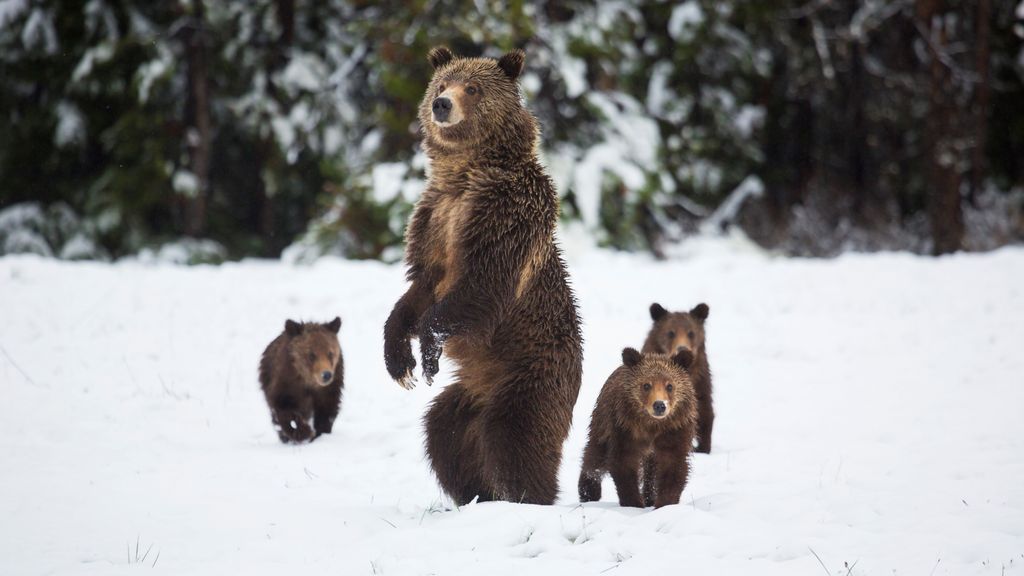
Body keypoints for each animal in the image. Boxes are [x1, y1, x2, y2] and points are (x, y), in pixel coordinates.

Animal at [382, 46, 583, 506]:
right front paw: (400, 362)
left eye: (473, 88)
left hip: (530, 375)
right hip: (469, 393)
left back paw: (528, 497)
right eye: (442, 83)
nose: (442, 105)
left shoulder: (502, 215)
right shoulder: (434, 219)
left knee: (514, 438)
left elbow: (481, 285)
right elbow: (418, 289)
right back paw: (475, 496)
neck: (465, 174)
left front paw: (428, 351)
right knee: (444, 435)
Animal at [578, 347, 698, 509]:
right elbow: (624, 462)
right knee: (595, 456)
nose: (659, 405)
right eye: (646, 385)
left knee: (651, 471)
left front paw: (665, 503)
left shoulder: (674, 430)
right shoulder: (625, 429)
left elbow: (673, 465)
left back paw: (649, 497)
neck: (651, 425)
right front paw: (633, 503)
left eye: (670, 386)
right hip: (601, 421)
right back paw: (588, 491)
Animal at [642, 302, 714, 453]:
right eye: (671, 332)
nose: (682, 348)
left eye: (691, 333)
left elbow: (704, 410)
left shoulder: (700, 381)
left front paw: (703, 448)